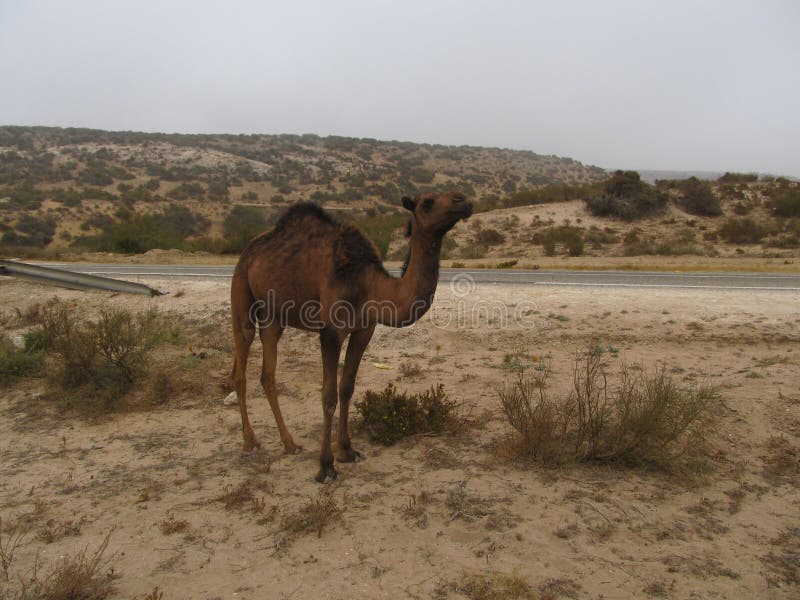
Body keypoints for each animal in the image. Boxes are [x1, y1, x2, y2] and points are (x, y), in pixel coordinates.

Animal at [230, 191, 473, 482]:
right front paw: (326, 467)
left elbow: (347, 388)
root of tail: (249, 251)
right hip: (241, 295)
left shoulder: (364, 330)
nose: (463, 200)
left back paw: (289, 444)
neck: (369, 286)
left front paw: (347, 451)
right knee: (240, 368)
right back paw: (248, 442)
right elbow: (329, 396)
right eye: (427, 203)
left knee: (267, 375)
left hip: (274, 317)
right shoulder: (330, 332)